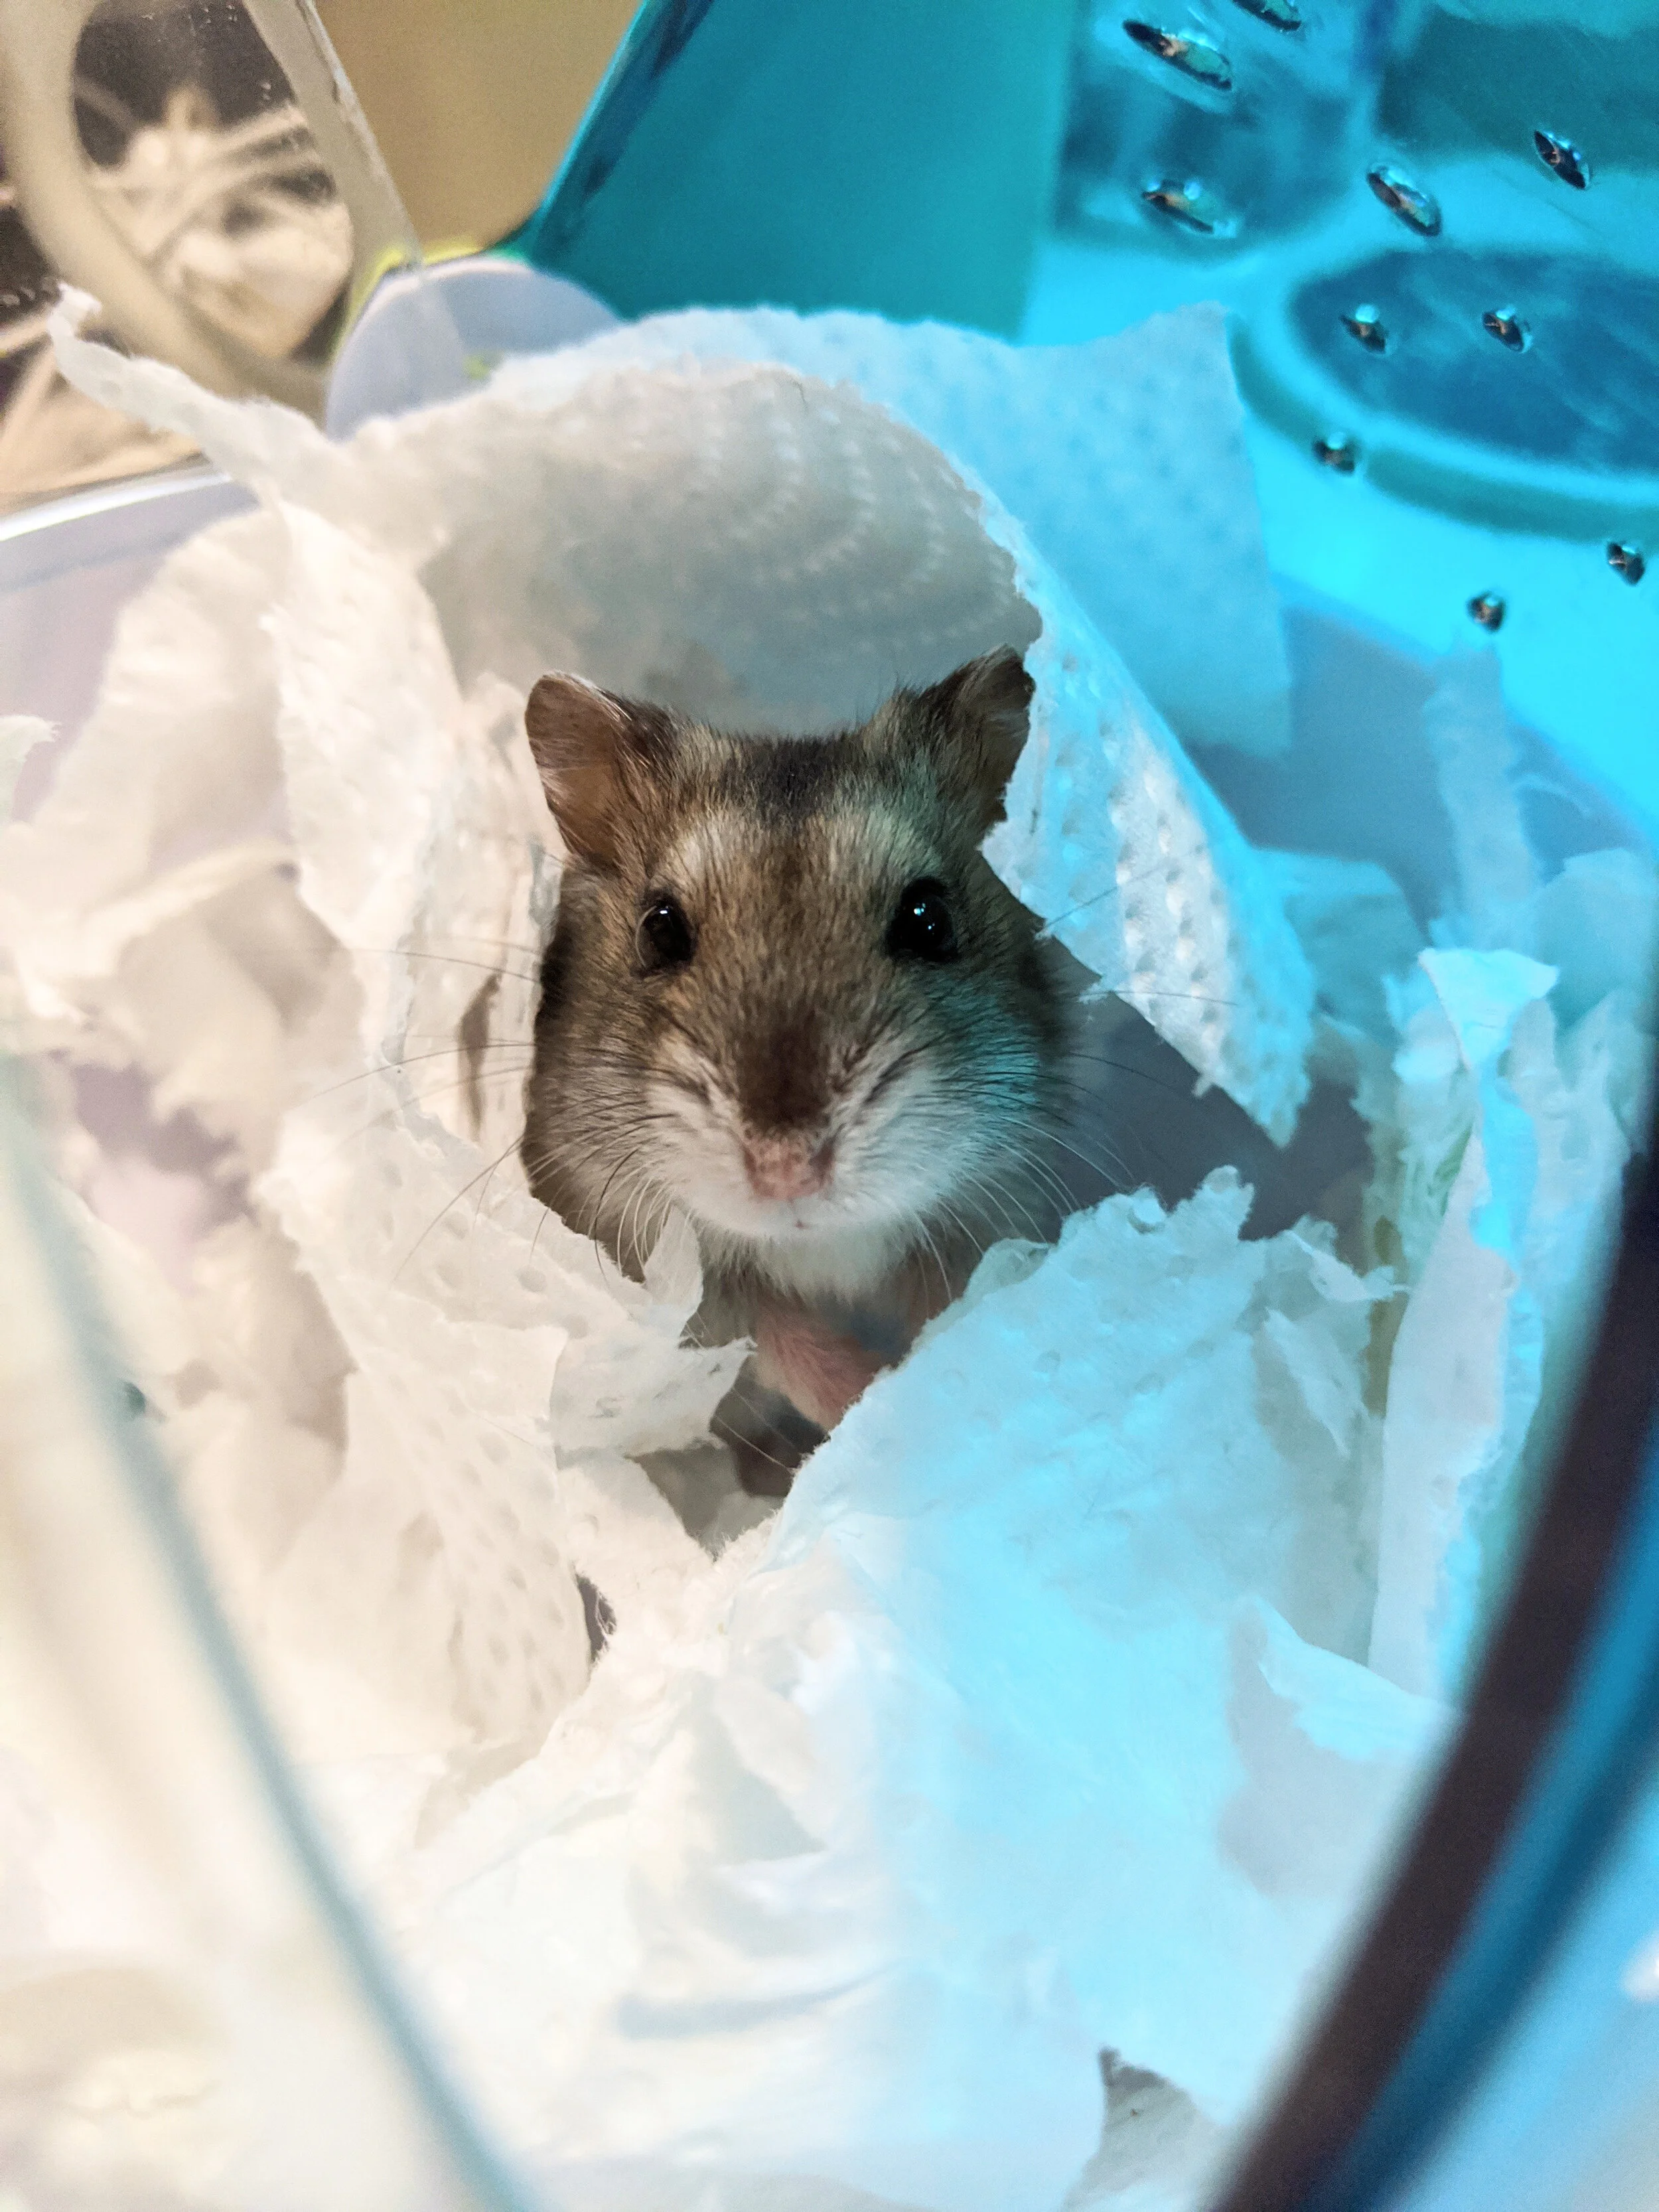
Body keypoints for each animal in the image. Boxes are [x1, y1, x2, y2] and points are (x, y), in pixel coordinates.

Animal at [519, 649, 1077, 1459]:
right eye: (660, 929)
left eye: (929, 918)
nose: (786, 1171)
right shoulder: (674, 1277)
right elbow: (785, 1342)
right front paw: (870, 1397)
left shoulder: (980, 1215)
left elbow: (948, 1312)